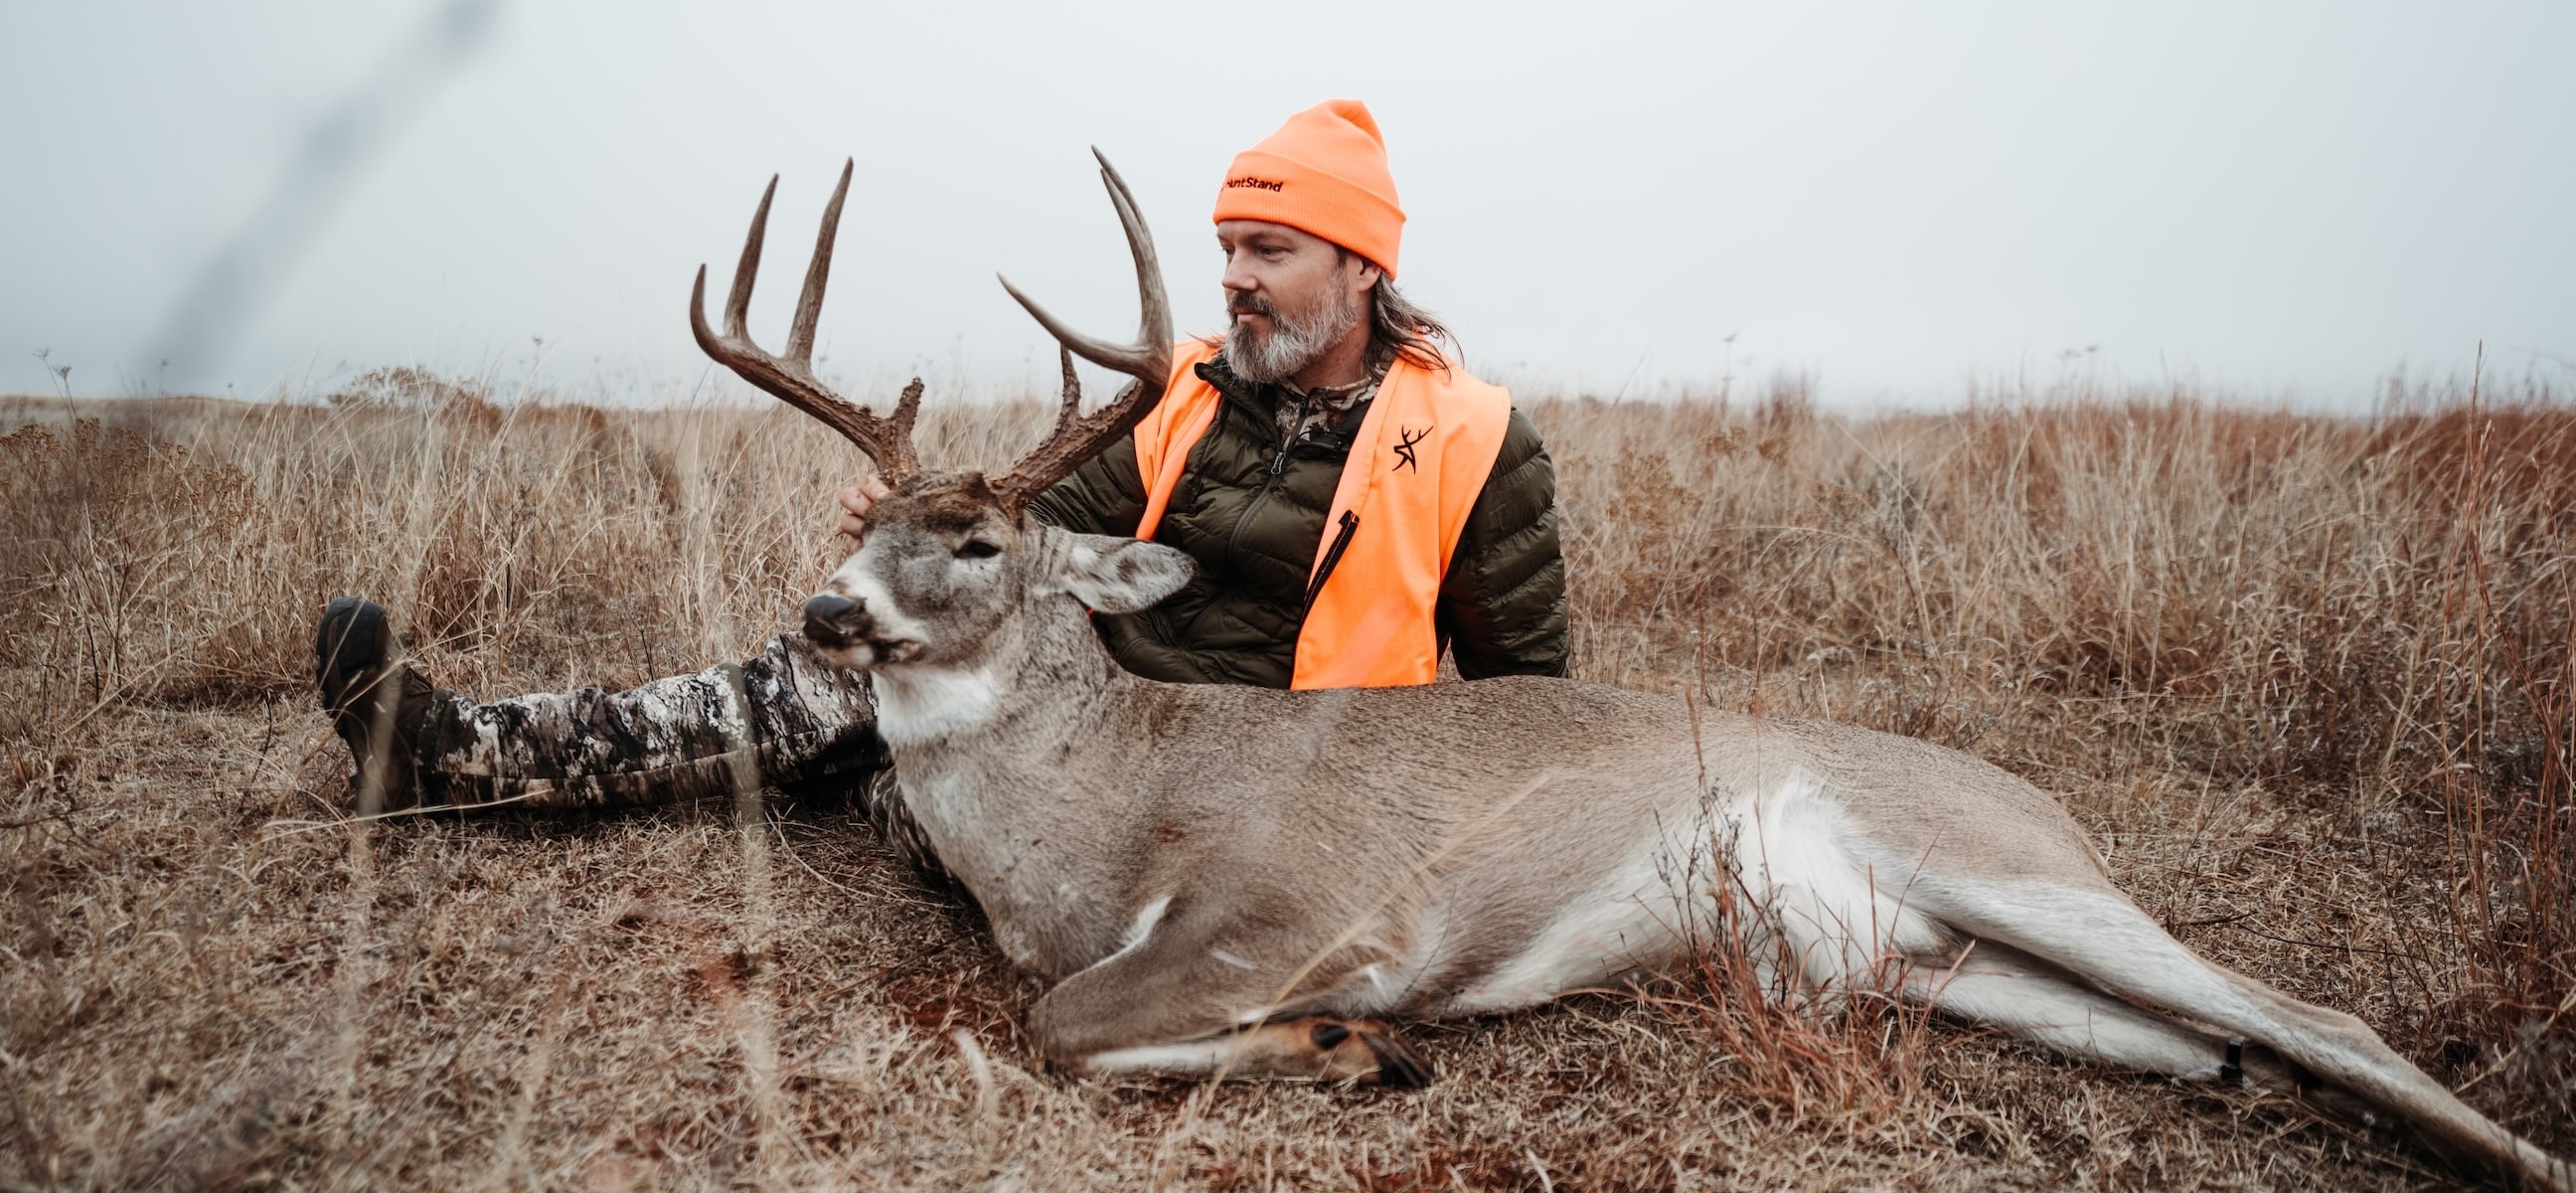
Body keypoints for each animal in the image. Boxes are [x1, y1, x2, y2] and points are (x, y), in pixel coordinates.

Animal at [686, 155, 2572, 1192]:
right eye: (866, 520)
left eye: (976, 540)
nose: (828, 615)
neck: (1096, 817)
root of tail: (2042, 803)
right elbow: (1056, 1021)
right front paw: (1342, 1054)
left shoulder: (1305, 900)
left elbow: (1060, 1025)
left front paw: (1351, 1047)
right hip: (1948, 969)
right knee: (2219, 1048)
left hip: (1999, 866)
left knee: (2319, 1016)